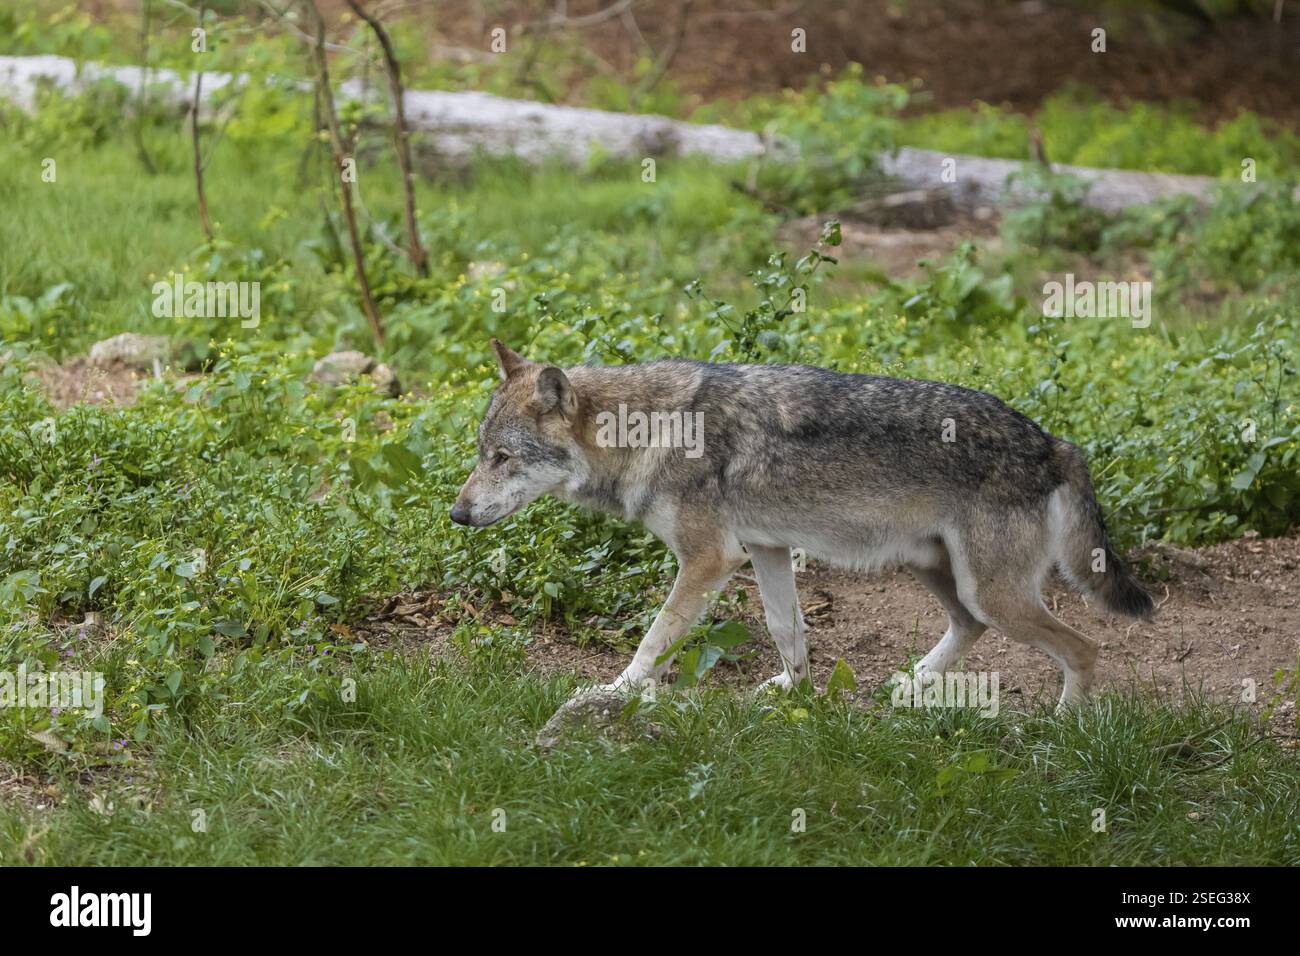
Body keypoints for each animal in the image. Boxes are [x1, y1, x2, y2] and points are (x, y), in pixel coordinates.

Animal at [451, 341, 1154, 720]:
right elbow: (786, 630)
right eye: (481, 454)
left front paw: (610, 694)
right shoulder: (764, 548)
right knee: (970, 628)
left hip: (993, 592)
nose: (457, 515)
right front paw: (795, 692)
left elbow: (654, 642)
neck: (648, 429)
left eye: (503, 459)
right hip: (940, 574)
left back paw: (1058, 728)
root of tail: (1054, 442)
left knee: (1085, 648)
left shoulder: (709, 560)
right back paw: (906, 686)